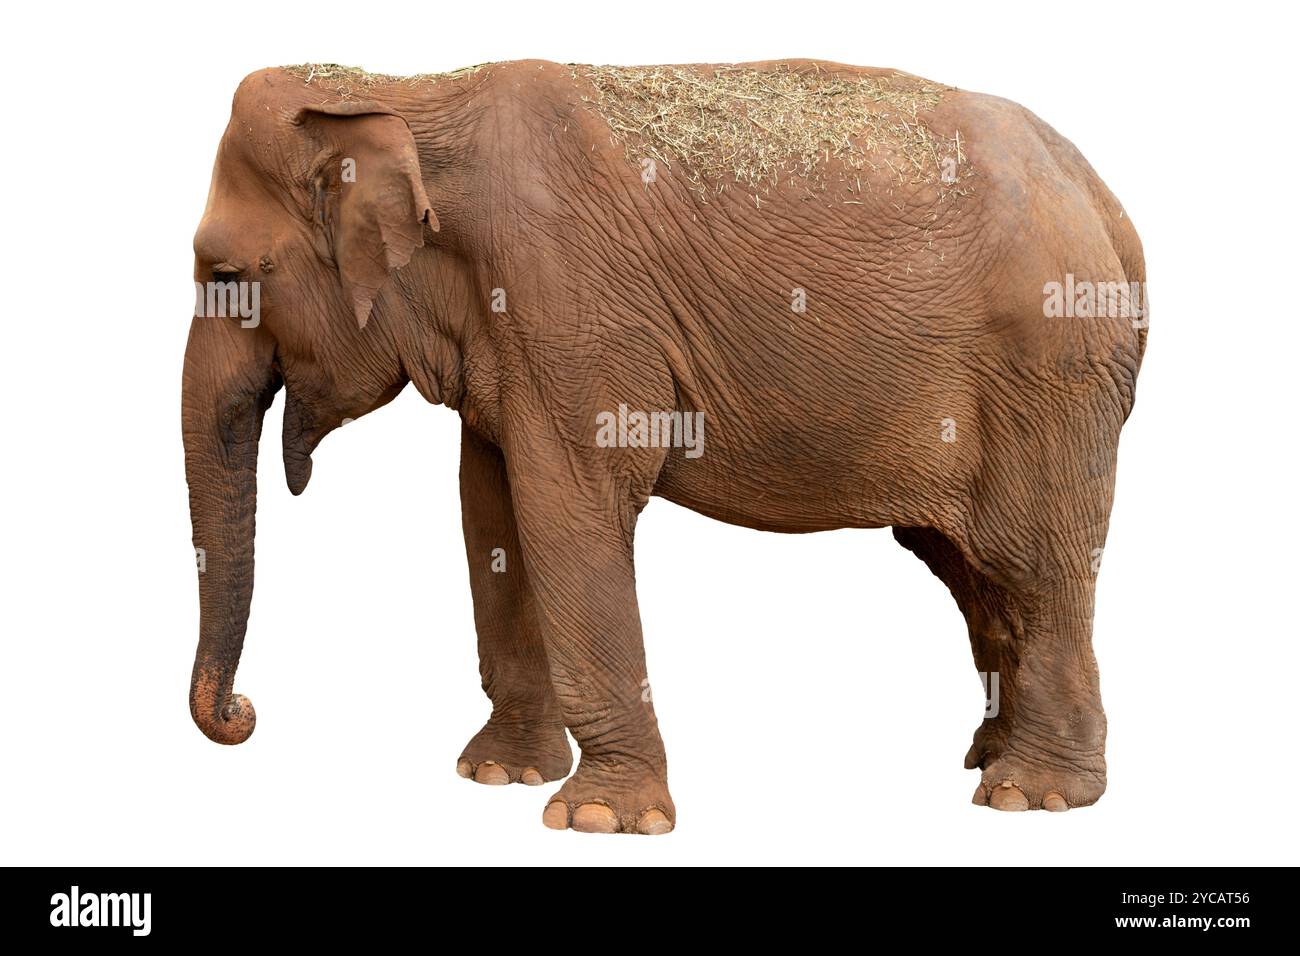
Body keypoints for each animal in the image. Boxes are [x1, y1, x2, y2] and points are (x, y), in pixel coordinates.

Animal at [184, 59, 1147, 834]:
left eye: (229, 276)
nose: (245, 711)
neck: (401, 93)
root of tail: (1105, 203)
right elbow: (492, 513)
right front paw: (497, 774)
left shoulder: (570, 306)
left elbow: (569, 508)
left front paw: (597, 818)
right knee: (973, 567)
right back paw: (989, 756)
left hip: (1048, 373)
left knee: (1034, 563)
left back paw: (1030, 797)